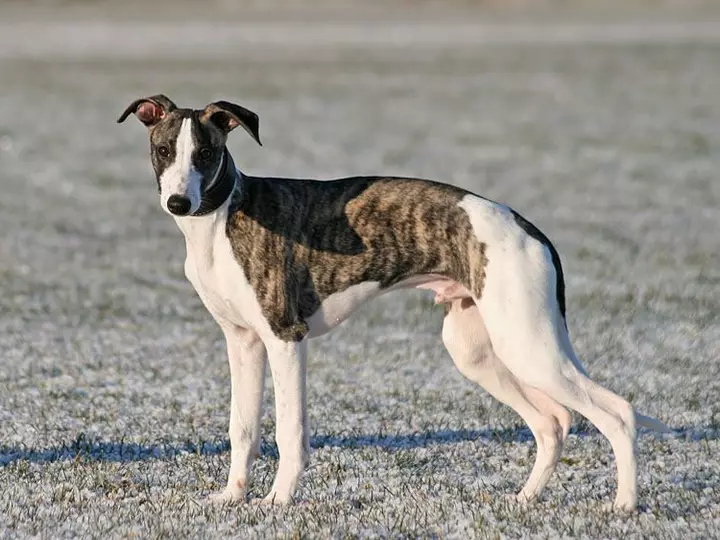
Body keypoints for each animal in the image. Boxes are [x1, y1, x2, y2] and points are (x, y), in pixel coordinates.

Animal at [116, 94, 668, 510]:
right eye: (163, 149)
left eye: (206, 154)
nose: (179, 203)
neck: (224, 215)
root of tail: (529, 228)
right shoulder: (243, 343)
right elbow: (243, 428)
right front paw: (232, 498)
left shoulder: (286, 339)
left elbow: (290, 432)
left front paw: (278, 500)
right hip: (479, 350)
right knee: (552, 423)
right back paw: (524, 498)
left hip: (528, 344)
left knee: (618, 413)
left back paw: (624, 506)